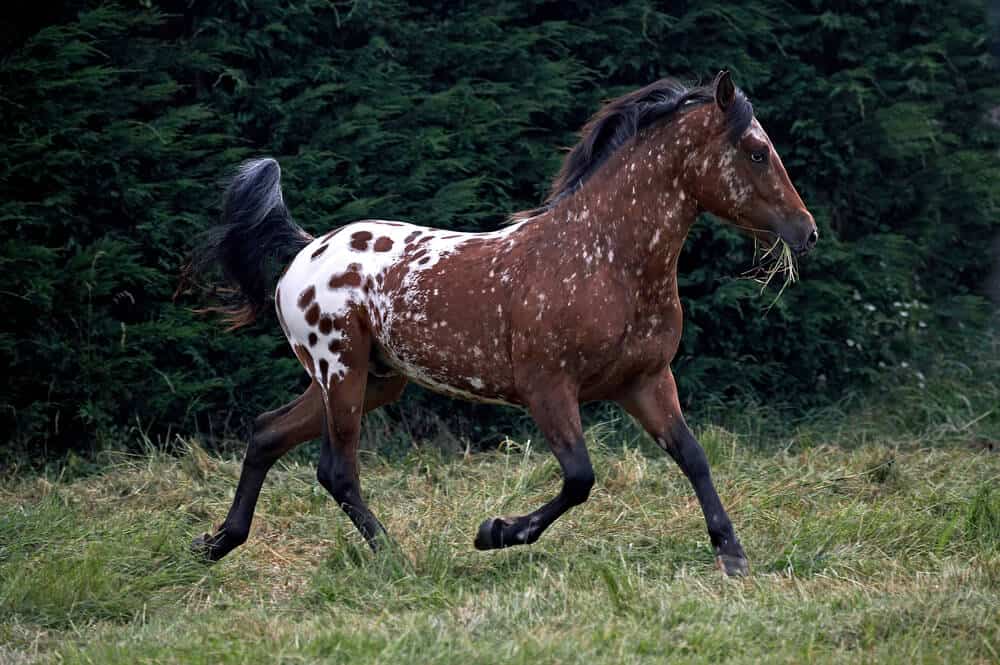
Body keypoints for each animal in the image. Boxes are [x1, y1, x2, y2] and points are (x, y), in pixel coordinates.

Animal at [189, 71, 817, 576]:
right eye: (756, 152)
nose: (806, 231)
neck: (604, 257)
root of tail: (304, 249)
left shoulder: (646, 381)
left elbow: (693, 456)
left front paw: (732, 555)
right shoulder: (547, 388)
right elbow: (580, 477)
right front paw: (494, 533)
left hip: (375, 380)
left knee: (267, 433)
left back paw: (217, 544)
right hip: (339, 371)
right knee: (335, 470)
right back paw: (394, 556)